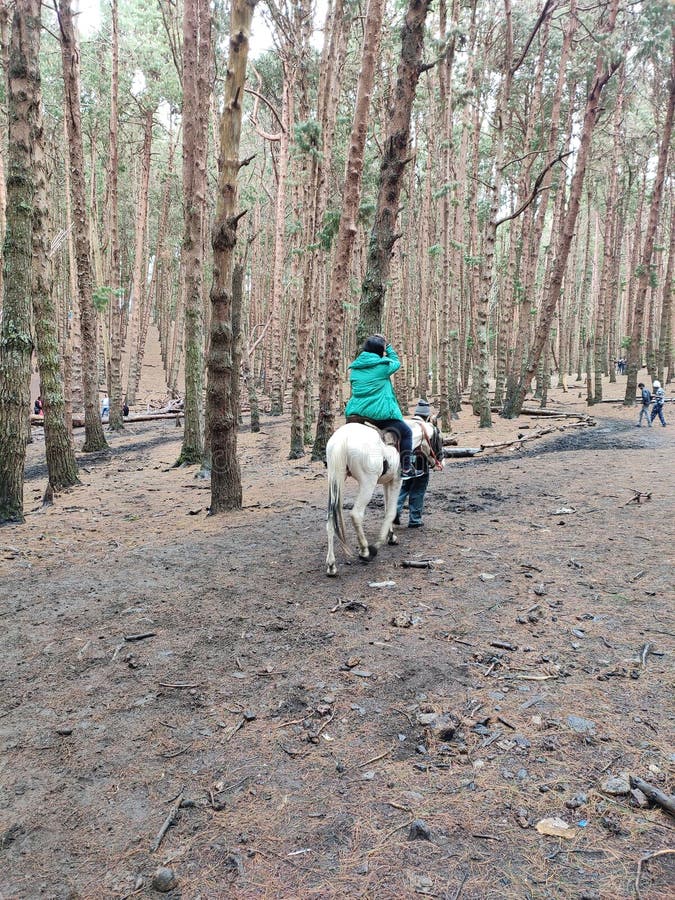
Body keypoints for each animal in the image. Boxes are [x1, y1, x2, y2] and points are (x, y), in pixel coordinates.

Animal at [325, 418, 444, 577]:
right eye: (440, 439)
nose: (441, 461)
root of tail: (342, 438)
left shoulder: (387, 482)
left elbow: (387, 510)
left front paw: (391, 537)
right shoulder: (397, 481)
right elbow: (392, 512)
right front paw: (377, 544)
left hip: (335, 480)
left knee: (331, 520)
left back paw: (331, 565)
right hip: (368, 483)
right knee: (356, 514)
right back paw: (365, 551)